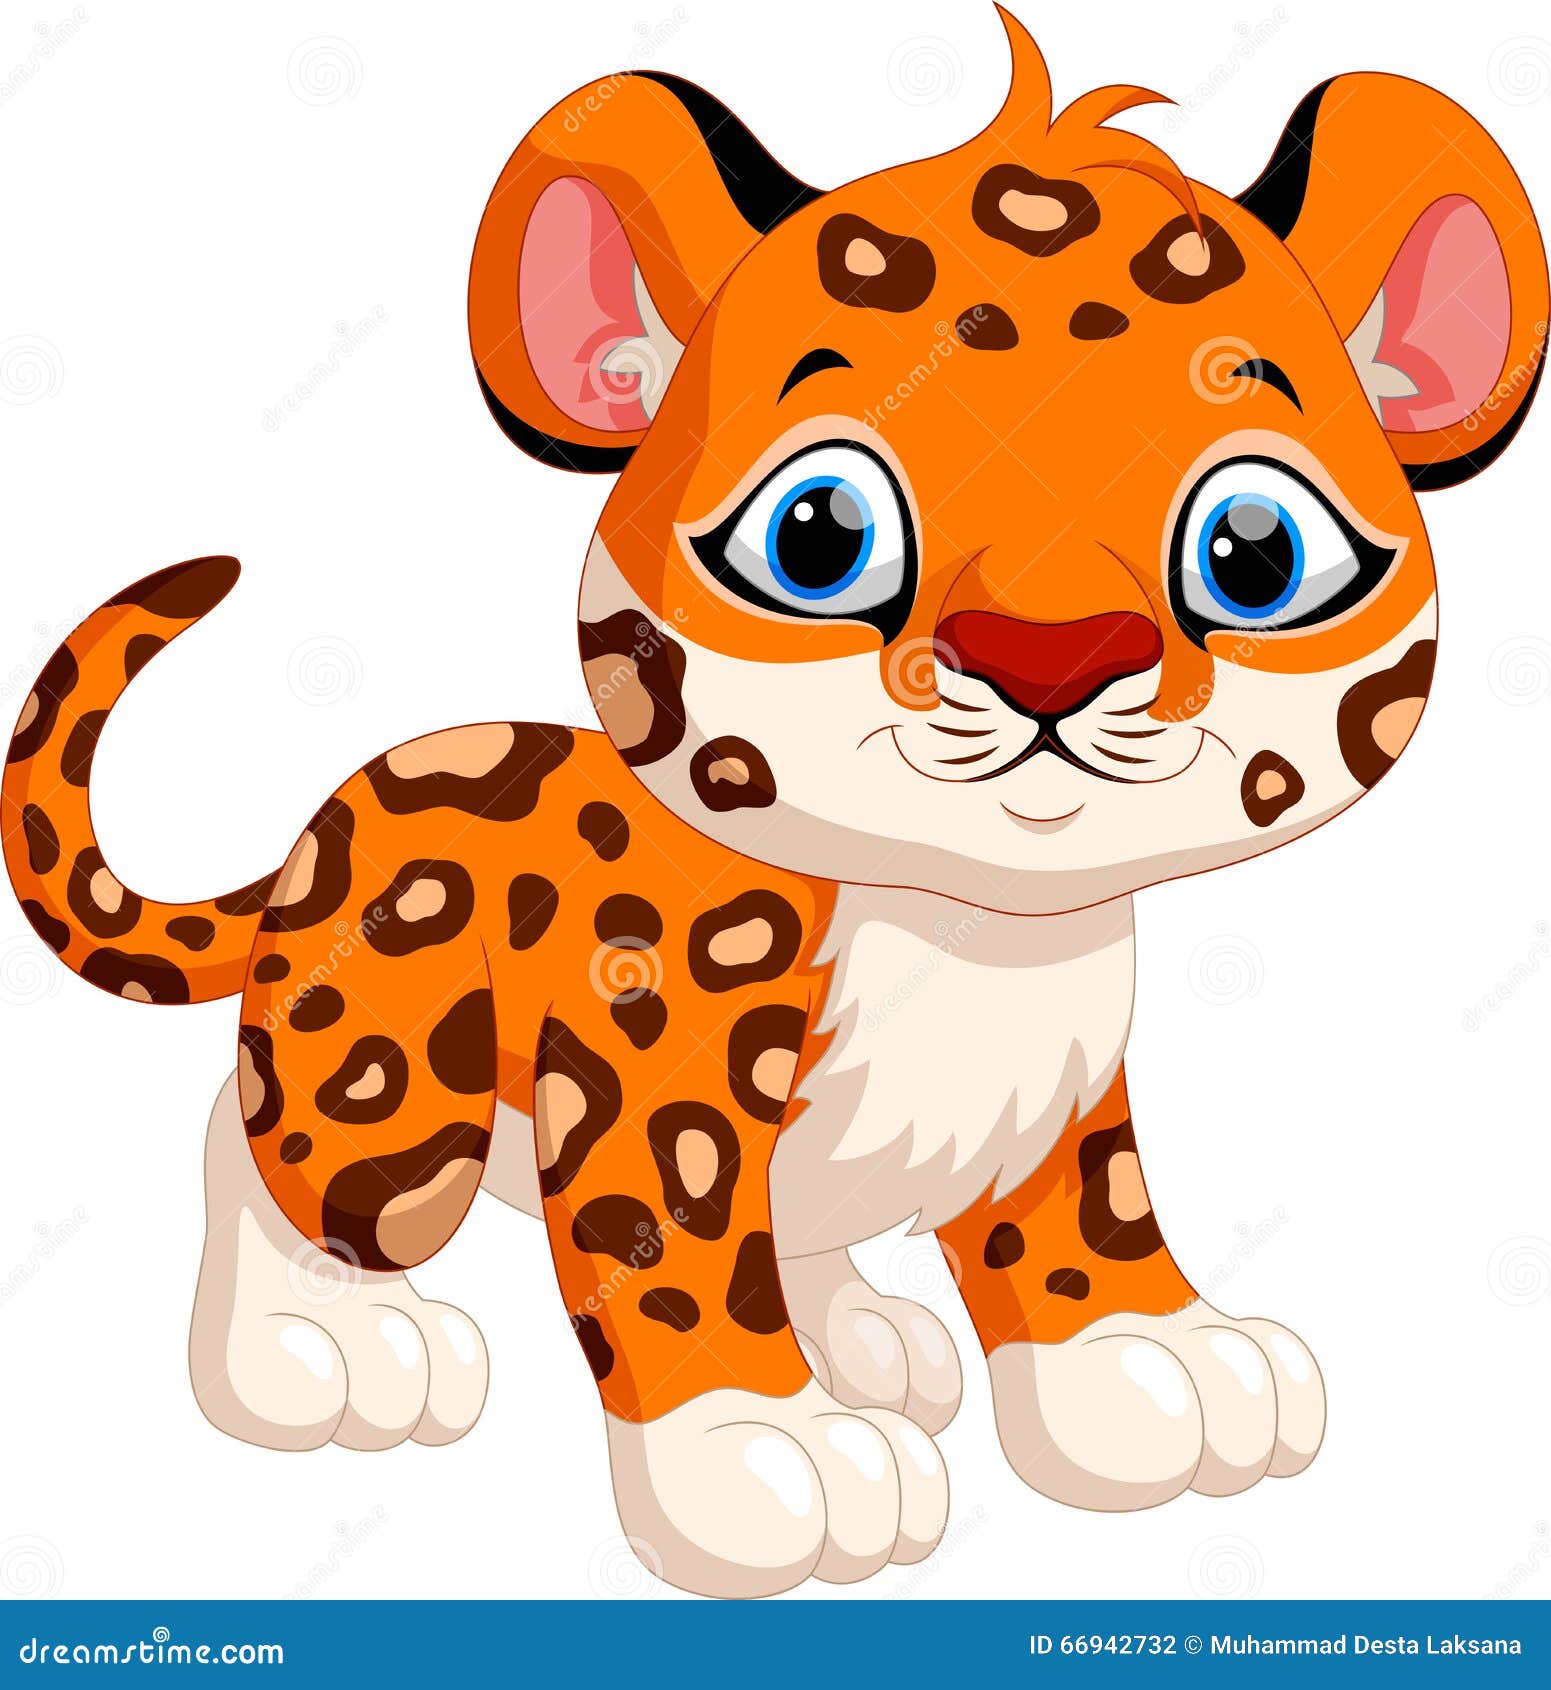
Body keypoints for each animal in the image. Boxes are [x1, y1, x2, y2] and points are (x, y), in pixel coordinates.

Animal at [4, 10, 1545, 1597]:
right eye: (820, 535)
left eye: (1254, 548)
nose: (1048, 659)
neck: (965, 931)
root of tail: (345, 796)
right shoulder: (648, 1099)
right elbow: (684, 1271)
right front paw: (764, 1451)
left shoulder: (1065, 1096)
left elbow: (1089, 1221)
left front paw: (1154, 1358)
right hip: (397, 1089)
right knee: (268, 1149)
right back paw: (327, 1338)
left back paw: (860, 1333)